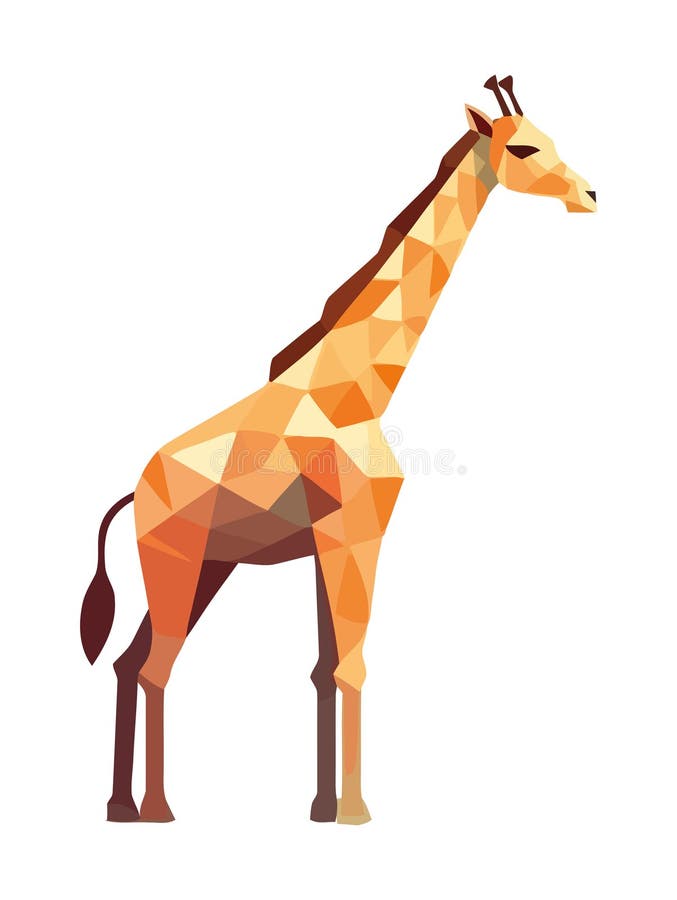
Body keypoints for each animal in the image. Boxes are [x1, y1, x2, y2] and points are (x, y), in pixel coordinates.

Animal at [81, 76, 596, 825]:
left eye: (554, 138)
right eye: (525, 148)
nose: (590, 194)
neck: (353, 391)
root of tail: (134, 494)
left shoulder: (336, 539)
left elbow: (326, 668)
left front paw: (324, 807)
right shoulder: (355, 533)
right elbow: (349, 665)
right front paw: (355, 812)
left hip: (206, 567)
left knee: (129, 662)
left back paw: (120, 806)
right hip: (174, 562)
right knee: (154, 666)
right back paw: (157, 810)